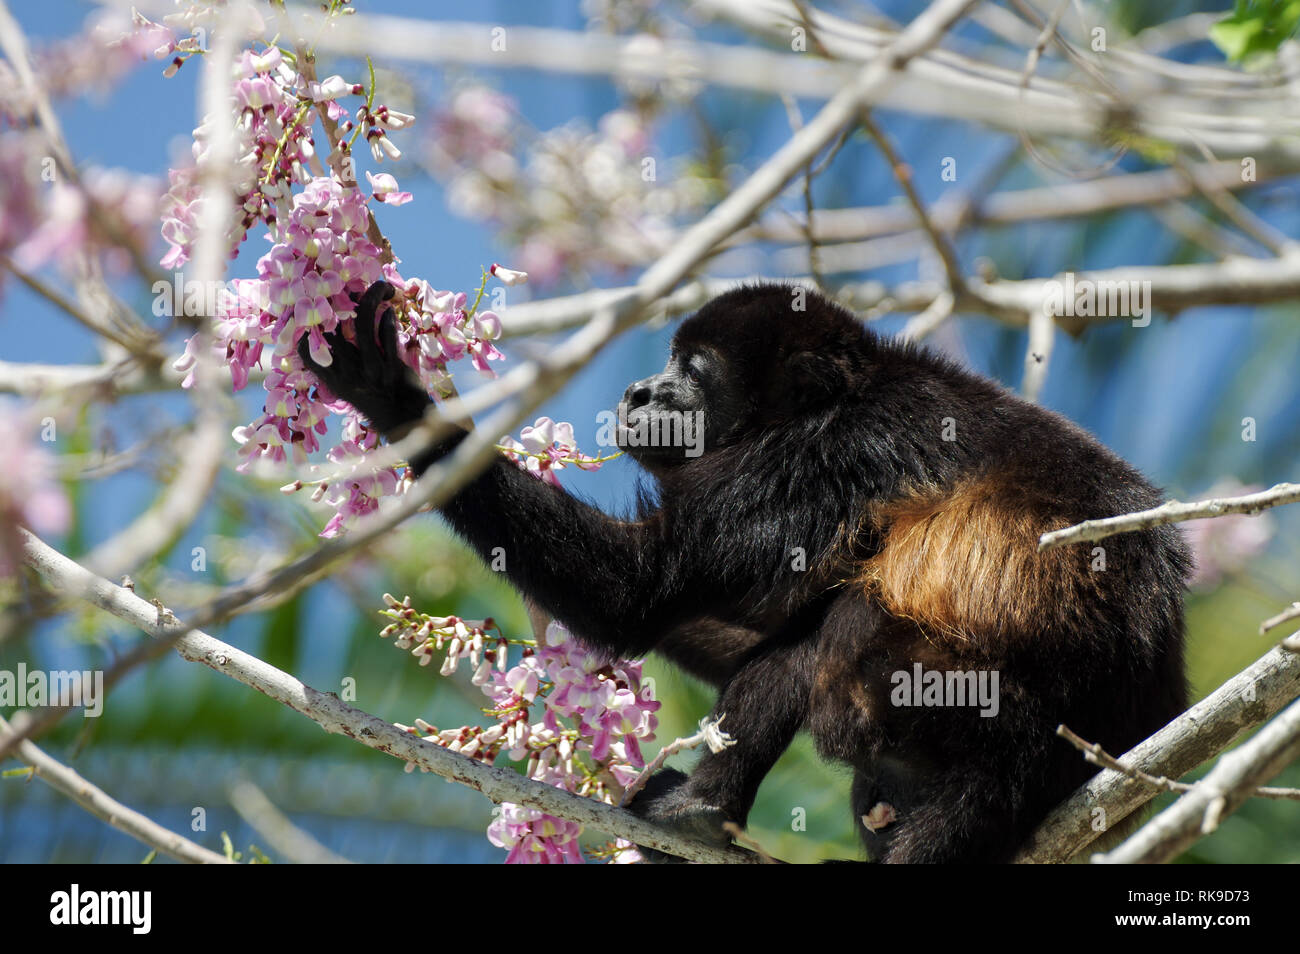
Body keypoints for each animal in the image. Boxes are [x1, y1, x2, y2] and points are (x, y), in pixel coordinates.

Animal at [299, 279, 1189, 863]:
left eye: (693, 368)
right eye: (668, 359)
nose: (639, 390)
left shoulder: (819, 461)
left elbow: (640, 590)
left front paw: (393, 392)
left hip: (960, 702)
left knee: (840, 633)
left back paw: (699, 811)